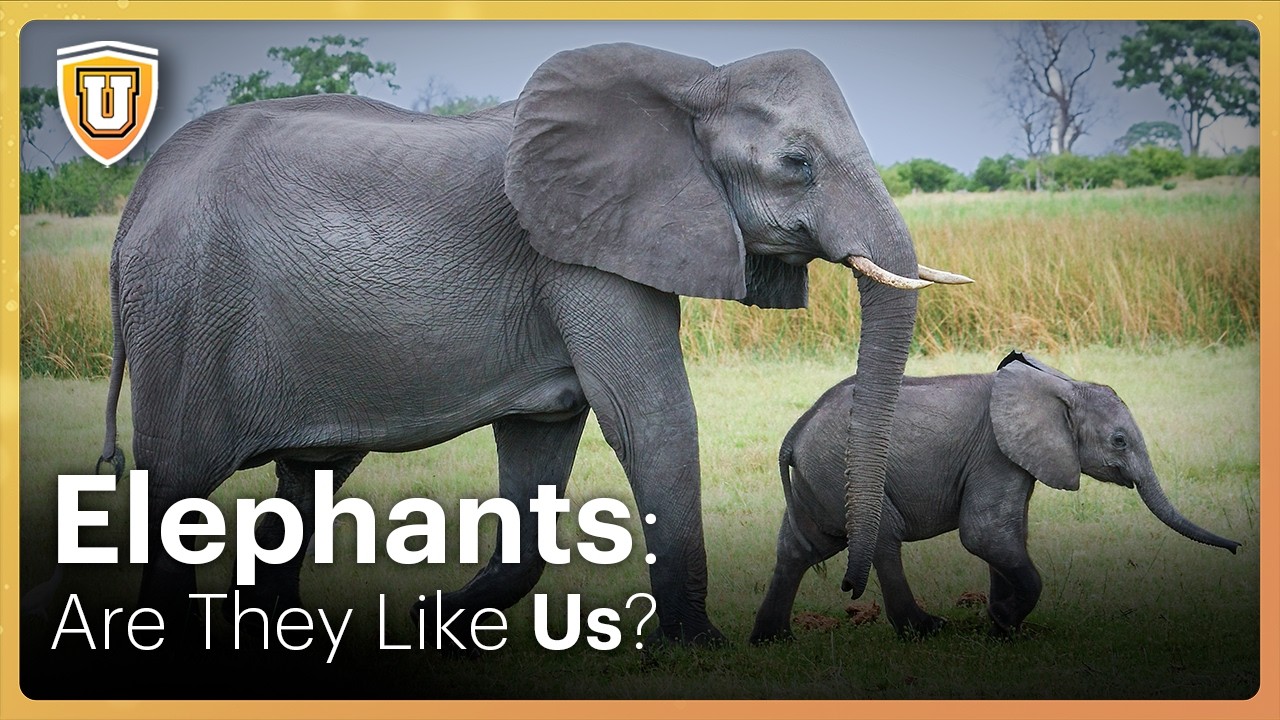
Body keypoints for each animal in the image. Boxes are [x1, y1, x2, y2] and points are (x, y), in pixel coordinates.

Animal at [97, 43, 970, 646]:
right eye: (796, 164)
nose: (849, 587)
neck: (693, 78)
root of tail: (135, 204)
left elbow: (543, 441)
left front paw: (428, 622)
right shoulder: (575, 249)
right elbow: (649, 416)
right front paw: (699, 646)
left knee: (306, 483)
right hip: (182, 311)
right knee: (179, 484)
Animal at [749, 351, 1240, 643]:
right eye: (1119, 441)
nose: (1237, 548)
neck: (1059, 385)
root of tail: (796, 431)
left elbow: (1009, 534)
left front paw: (1003, 623)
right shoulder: (995, 453)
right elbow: (984, 534)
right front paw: (1005, 622)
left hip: (820, 480)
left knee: (800, 548)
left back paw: (773, 640)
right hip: (842, 471)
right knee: (883, 539)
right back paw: (927, 629)